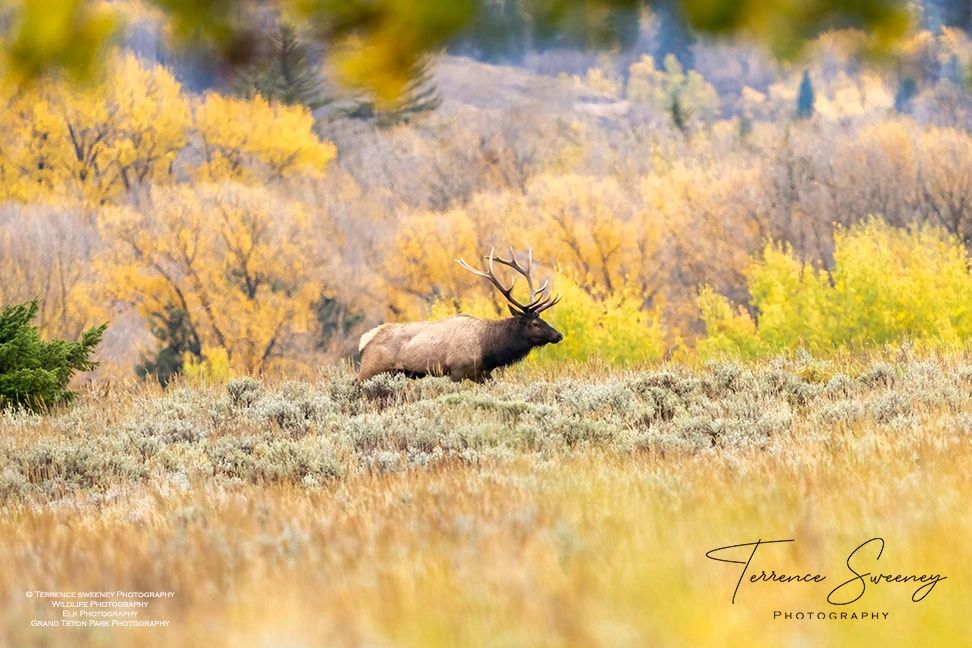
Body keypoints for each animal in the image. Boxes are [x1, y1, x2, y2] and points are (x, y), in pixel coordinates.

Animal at [357, 248, 563, 382]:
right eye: (534, 323)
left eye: (541, 319)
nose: (558, 335)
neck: (489, 349)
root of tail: (365, 340)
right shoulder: (456, 370)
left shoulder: (481, 373)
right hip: (370, 369)